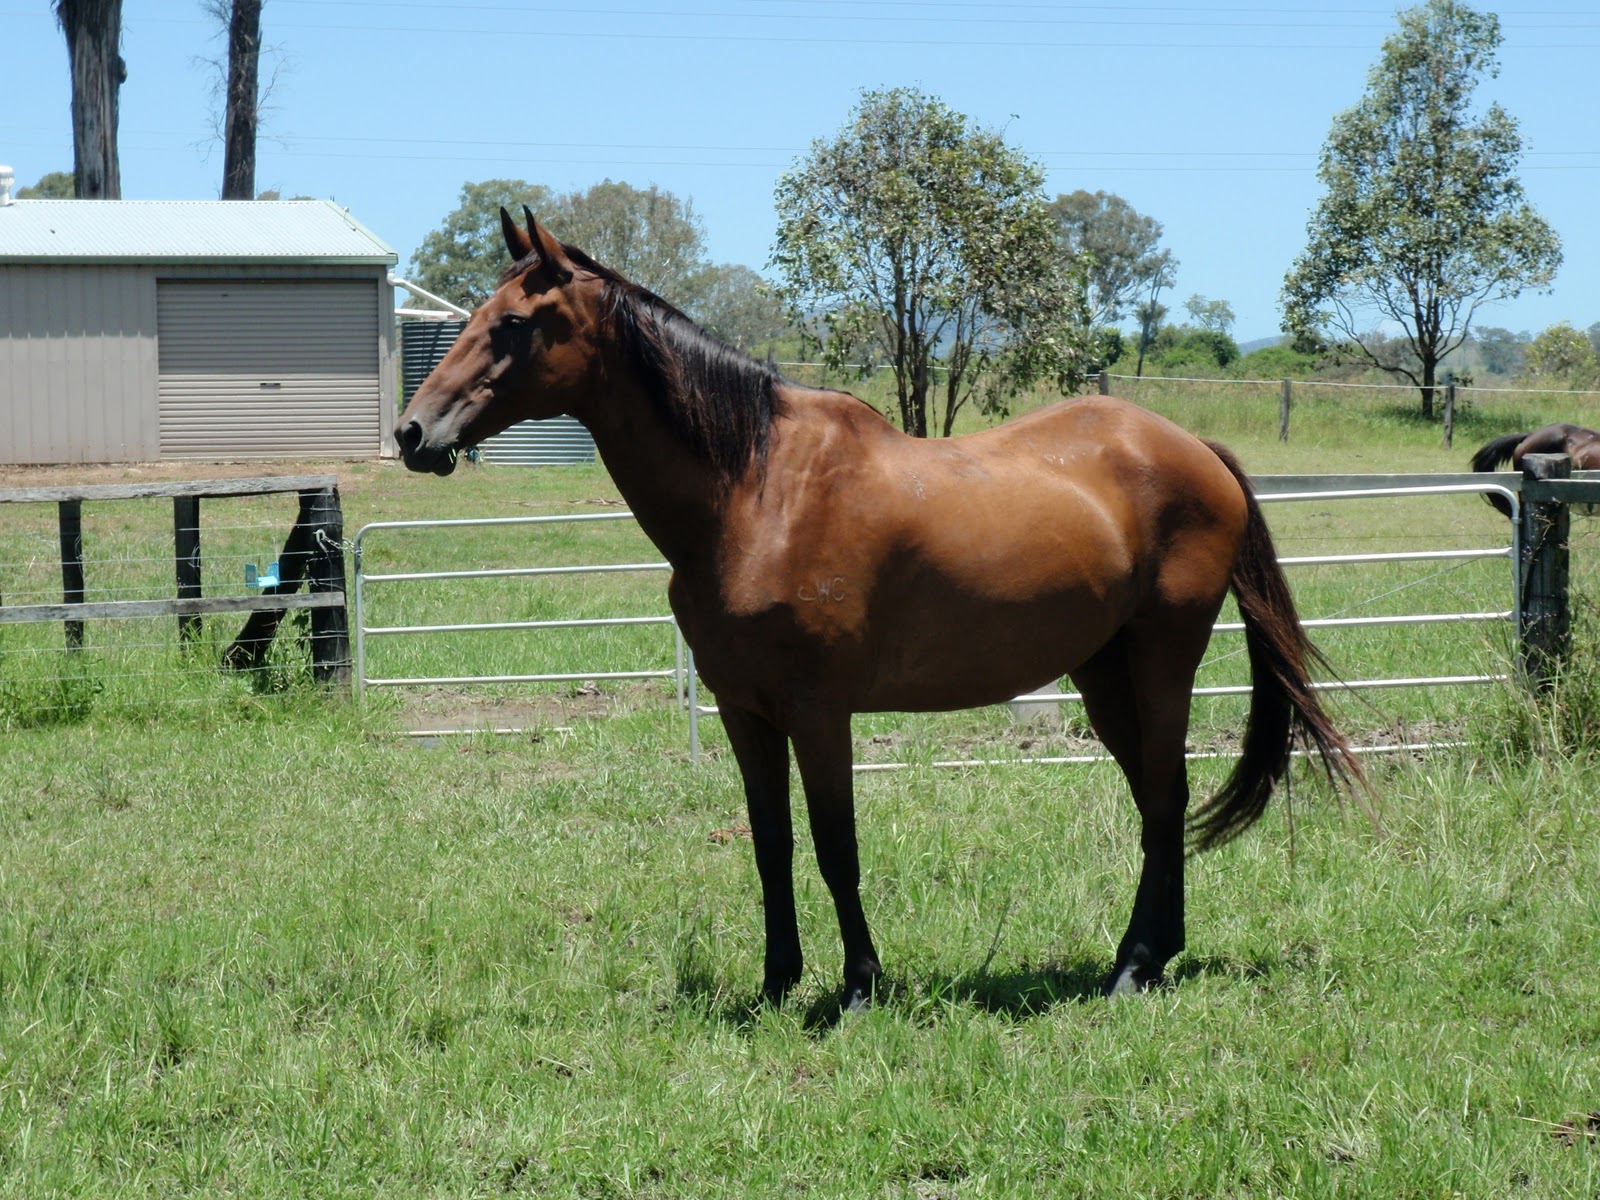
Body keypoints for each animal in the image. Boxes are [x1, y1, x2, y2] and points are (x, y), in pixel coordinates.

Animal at [396, 208, 1364, 1008]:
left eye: (512, 324)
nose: (413, 433)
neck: (753, 491)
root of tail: (1191, 447)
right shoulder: (747, 714)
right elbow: (773, 847)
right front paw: (778, 983)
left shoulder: (820, 713)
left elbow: (836, 847)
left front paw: (861, 985)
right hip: (1102, 675)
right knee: (1163, 798)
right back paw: (1156, 956)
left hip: (1162, 660)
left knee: (1164, 796)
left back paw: (1132, 967)